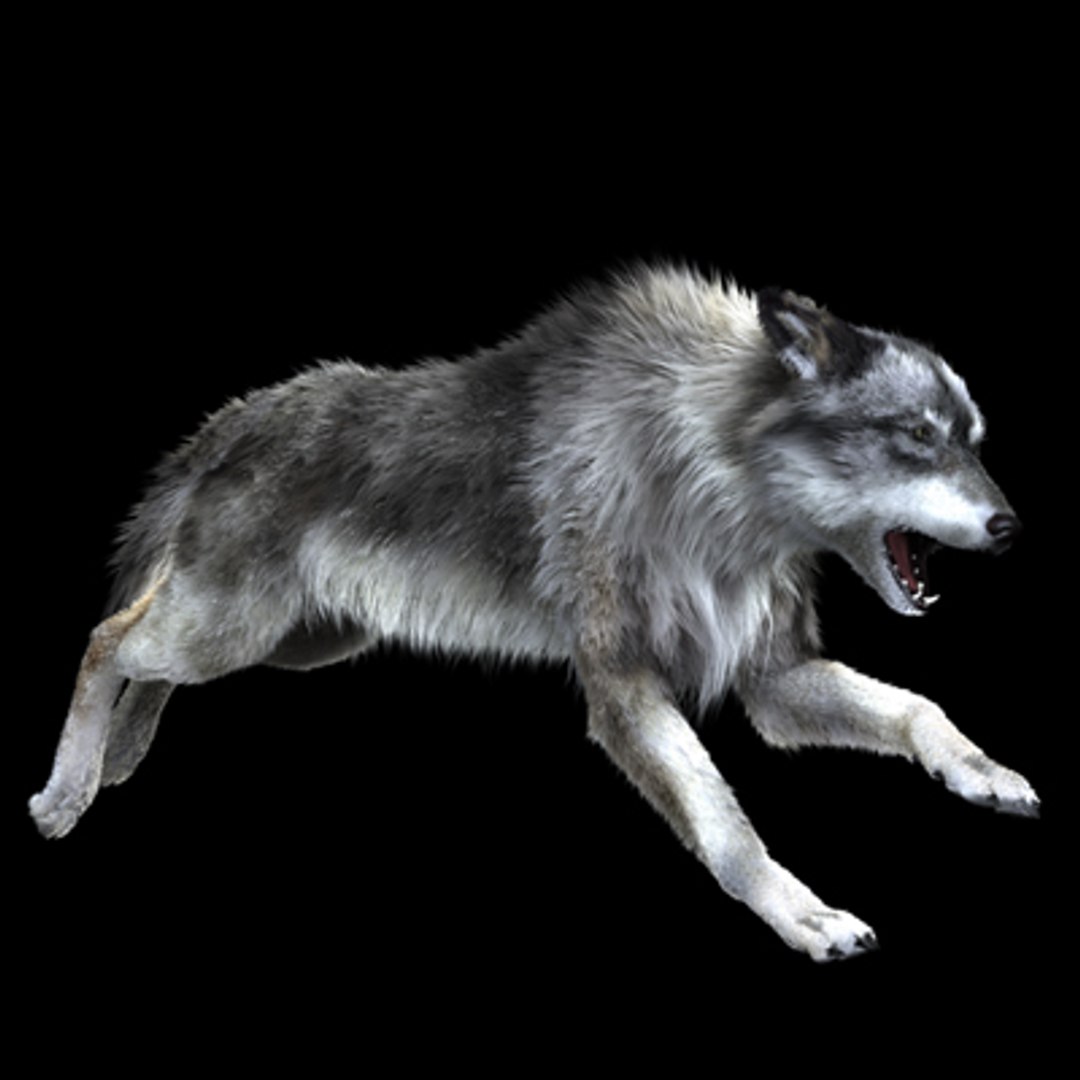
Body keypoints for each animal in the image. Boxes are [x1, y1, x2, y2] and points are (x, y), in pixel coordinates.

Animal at [30, 265, 1037, 960]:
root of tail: (233, 417)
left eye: (974, 442)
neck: (707, 472)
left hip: (294, 643)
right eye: (916, 438)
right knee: (106, 639)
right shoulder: (625, 689)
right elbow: (729, 828)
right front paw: (807, 915)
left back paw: (120, 758)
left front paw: (985, 773)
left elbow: (919, 709)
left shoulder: (774, 680)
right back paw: (67, 793)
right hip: (231, 631)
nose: (1011, 527)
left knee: (142, 656)